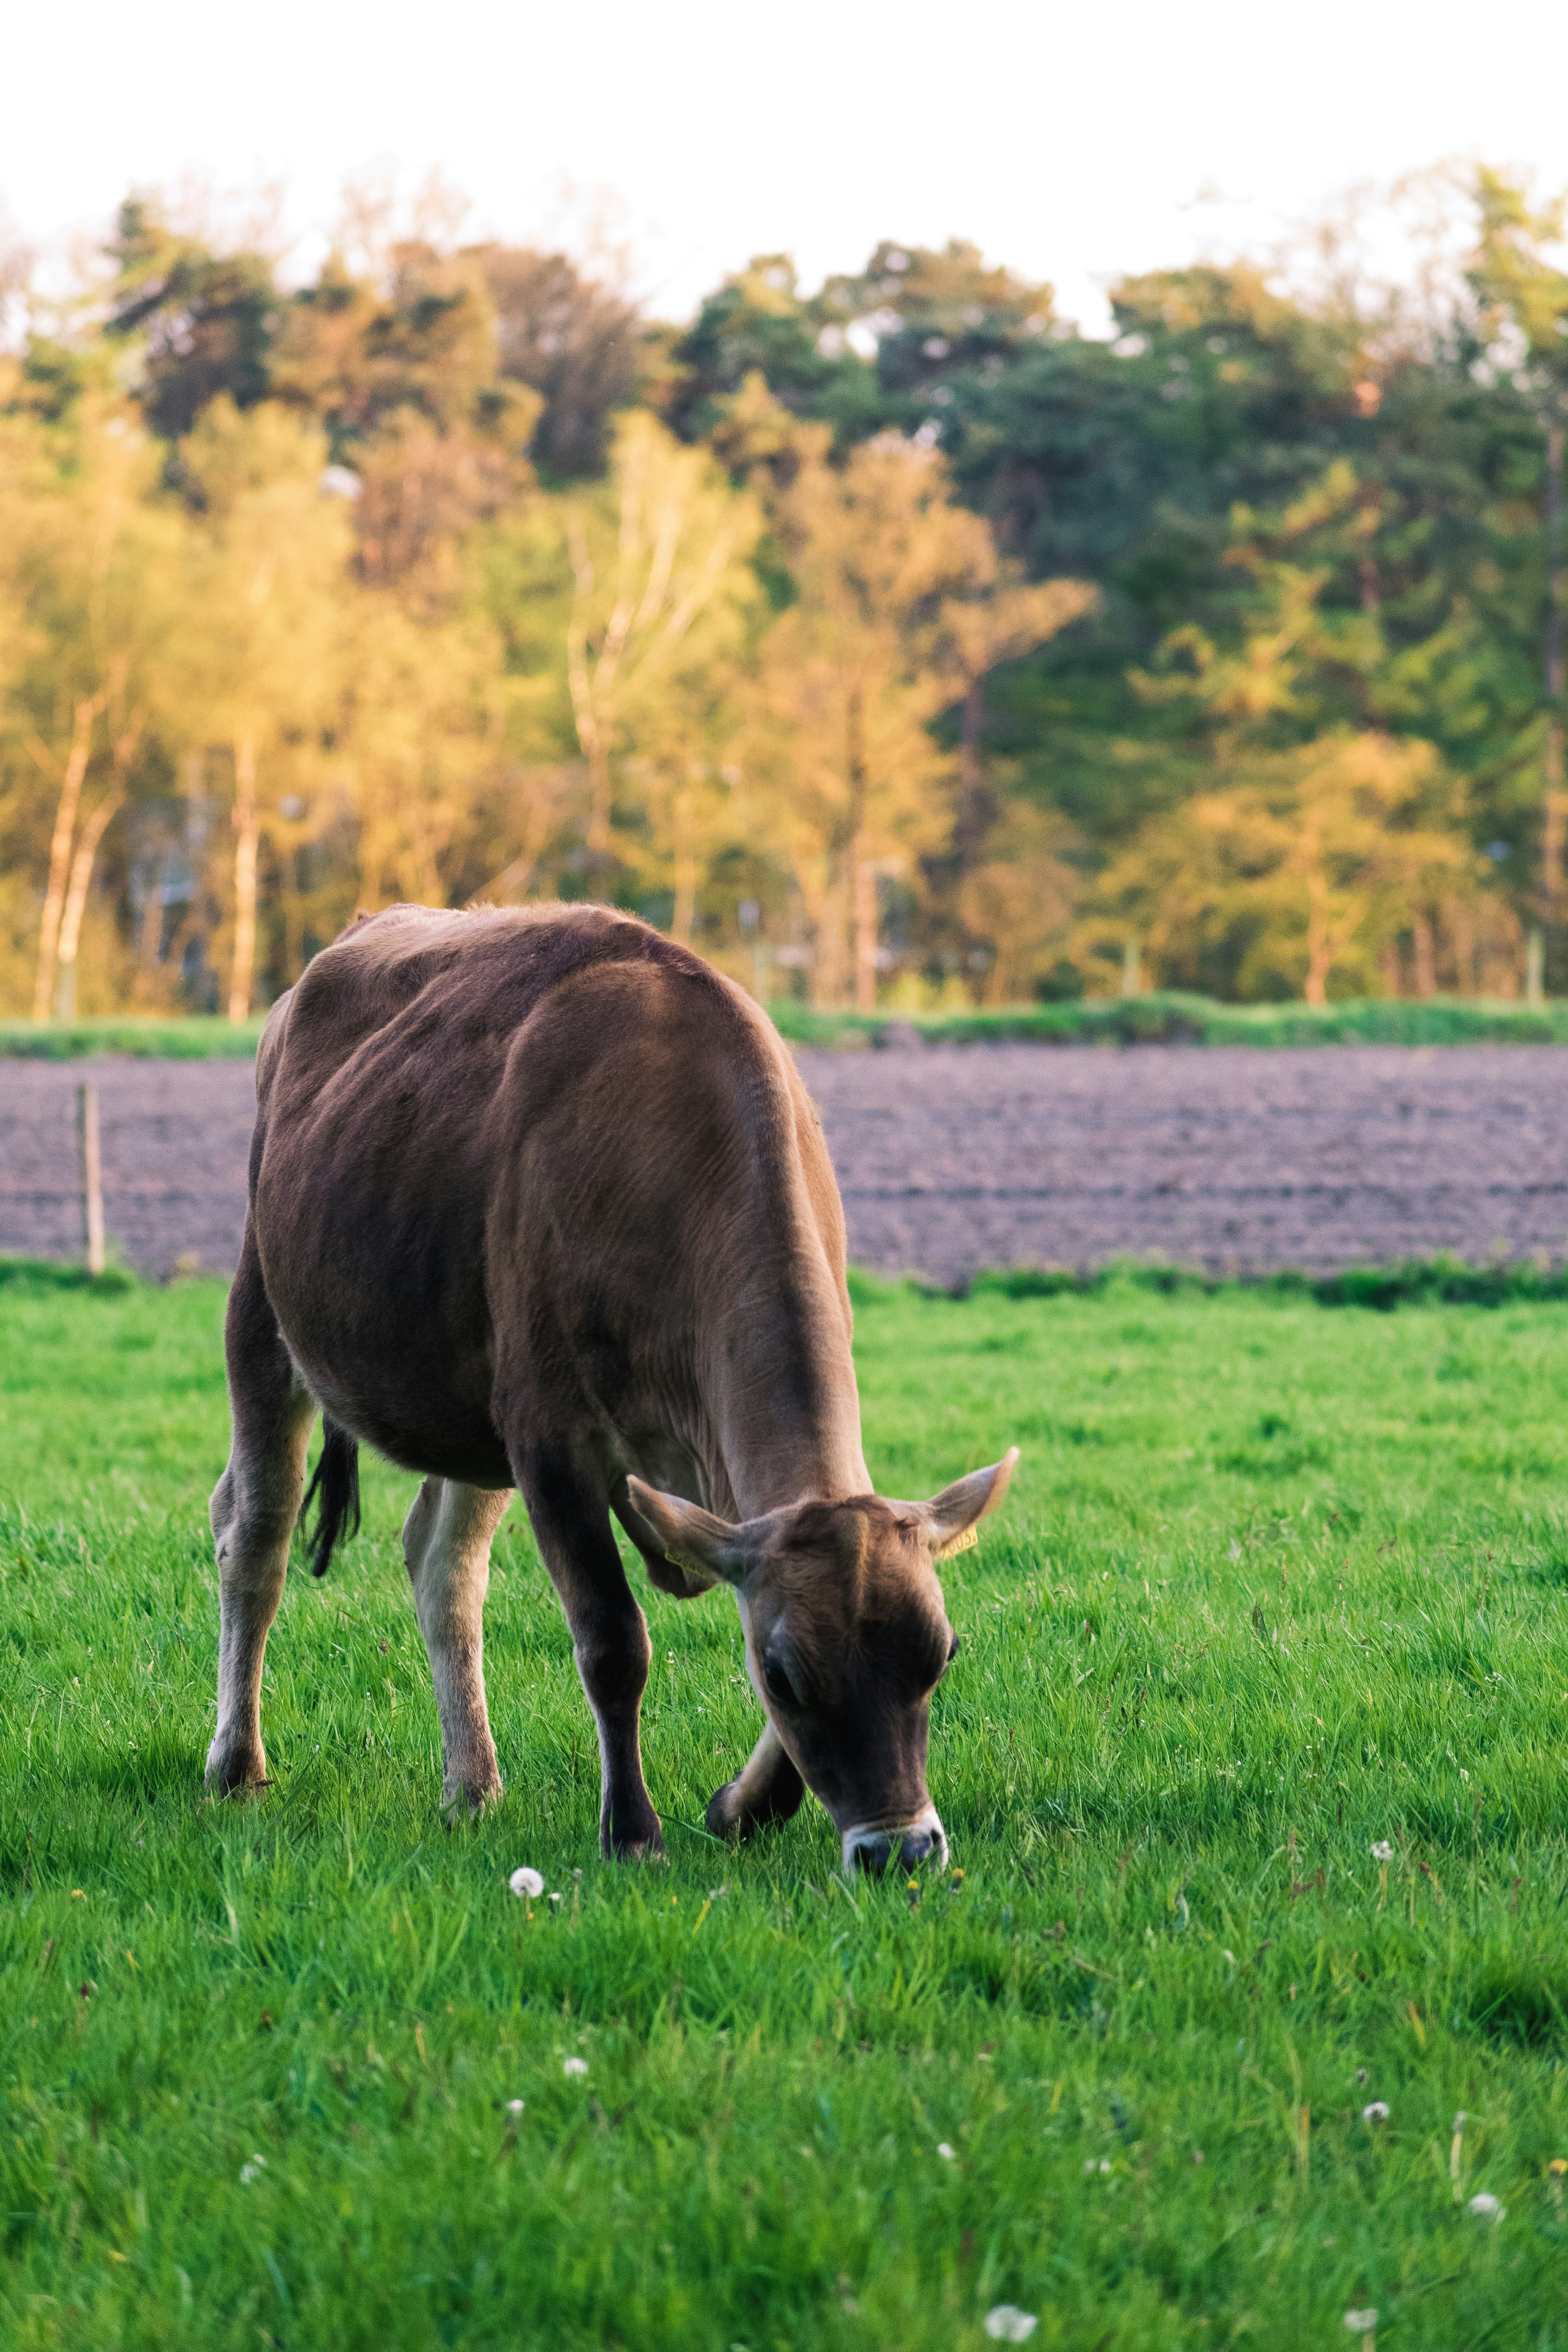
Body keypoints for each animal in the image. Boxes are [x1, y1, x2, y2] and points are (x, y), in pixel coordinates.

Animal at [206, 902, 1018, 1873]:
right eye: (787, 1674)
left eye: (940, 1653)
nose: (899, 1849)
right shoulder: (547, 1436)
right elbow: (612, 1640)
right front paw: (632, 1833)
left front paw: (741, 1806)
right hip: (266, 1312)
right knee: (255, 1532)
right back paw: (236, 1765)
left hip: (470, 1403)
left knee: (442, 1562)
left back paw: (471, 1786)